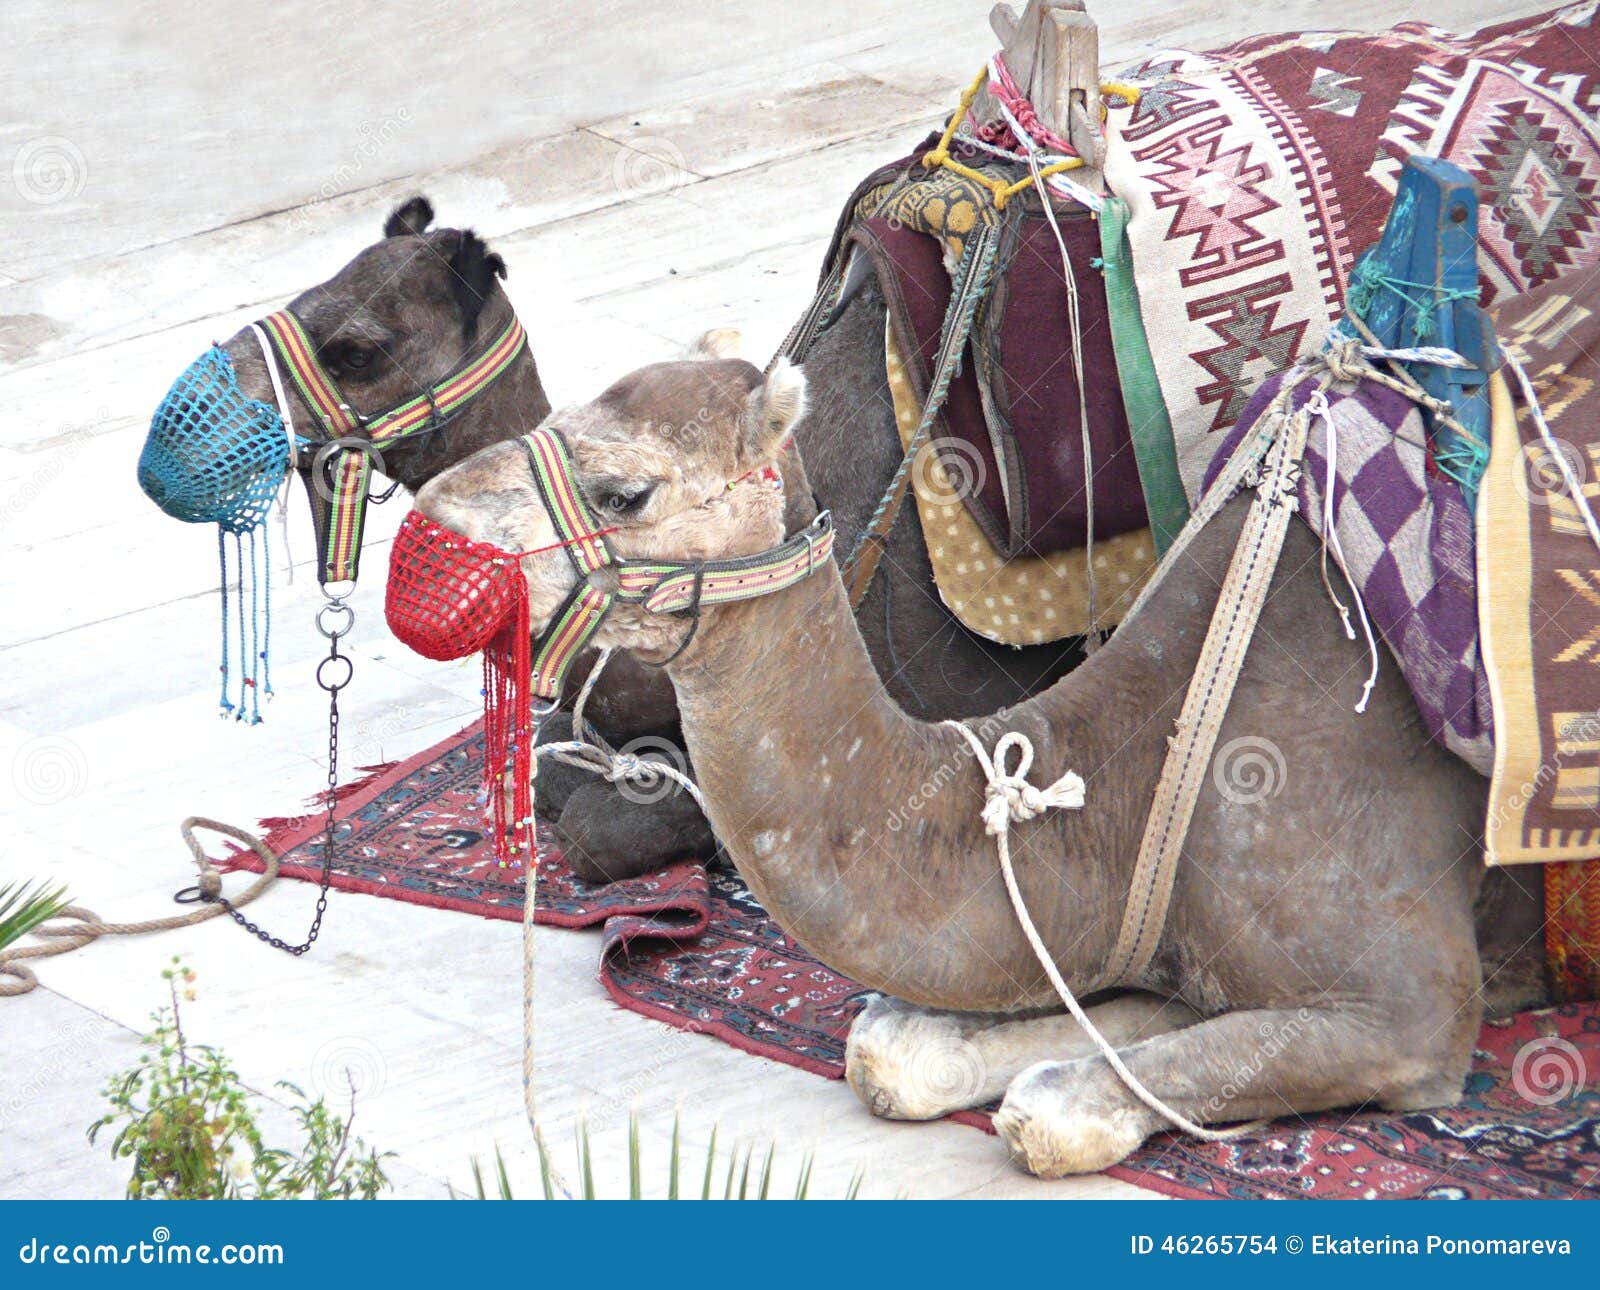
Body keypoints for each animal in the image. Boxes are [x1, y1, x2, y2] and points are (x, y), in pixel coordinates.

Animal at [412, 349, 1549, 1177]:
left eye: (624, 490)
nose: (434, 522)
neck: (1127, 786)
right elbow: (894, 1051)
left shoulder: (1410, 1004)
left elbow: (1048, 1110)